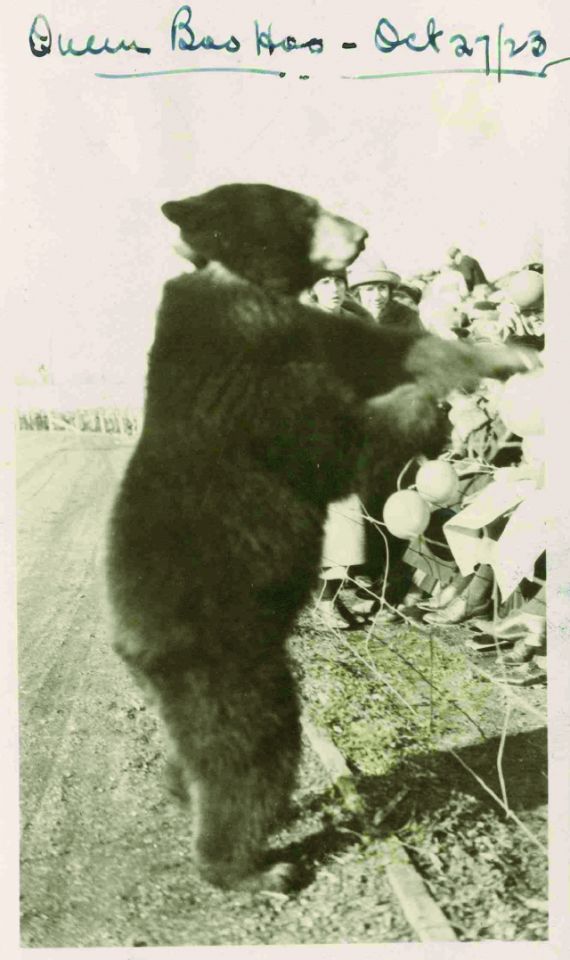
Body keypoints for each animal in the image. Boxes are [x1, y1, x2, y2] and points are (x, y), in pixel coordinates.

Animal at [106, 183, 538, 893]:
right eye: (304, 208)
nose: (361, 234)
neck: (238, 281)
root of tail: (132, 647)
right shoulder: (255, 367)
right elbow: (328, 440)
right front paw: (427, 406)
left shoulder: (316, 328)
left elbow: (383, 346)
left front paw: (506, 353)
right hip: (226, 663)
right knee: (248, 750)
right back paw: (252, 866)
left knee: (198, 755)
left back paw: (184, 793)